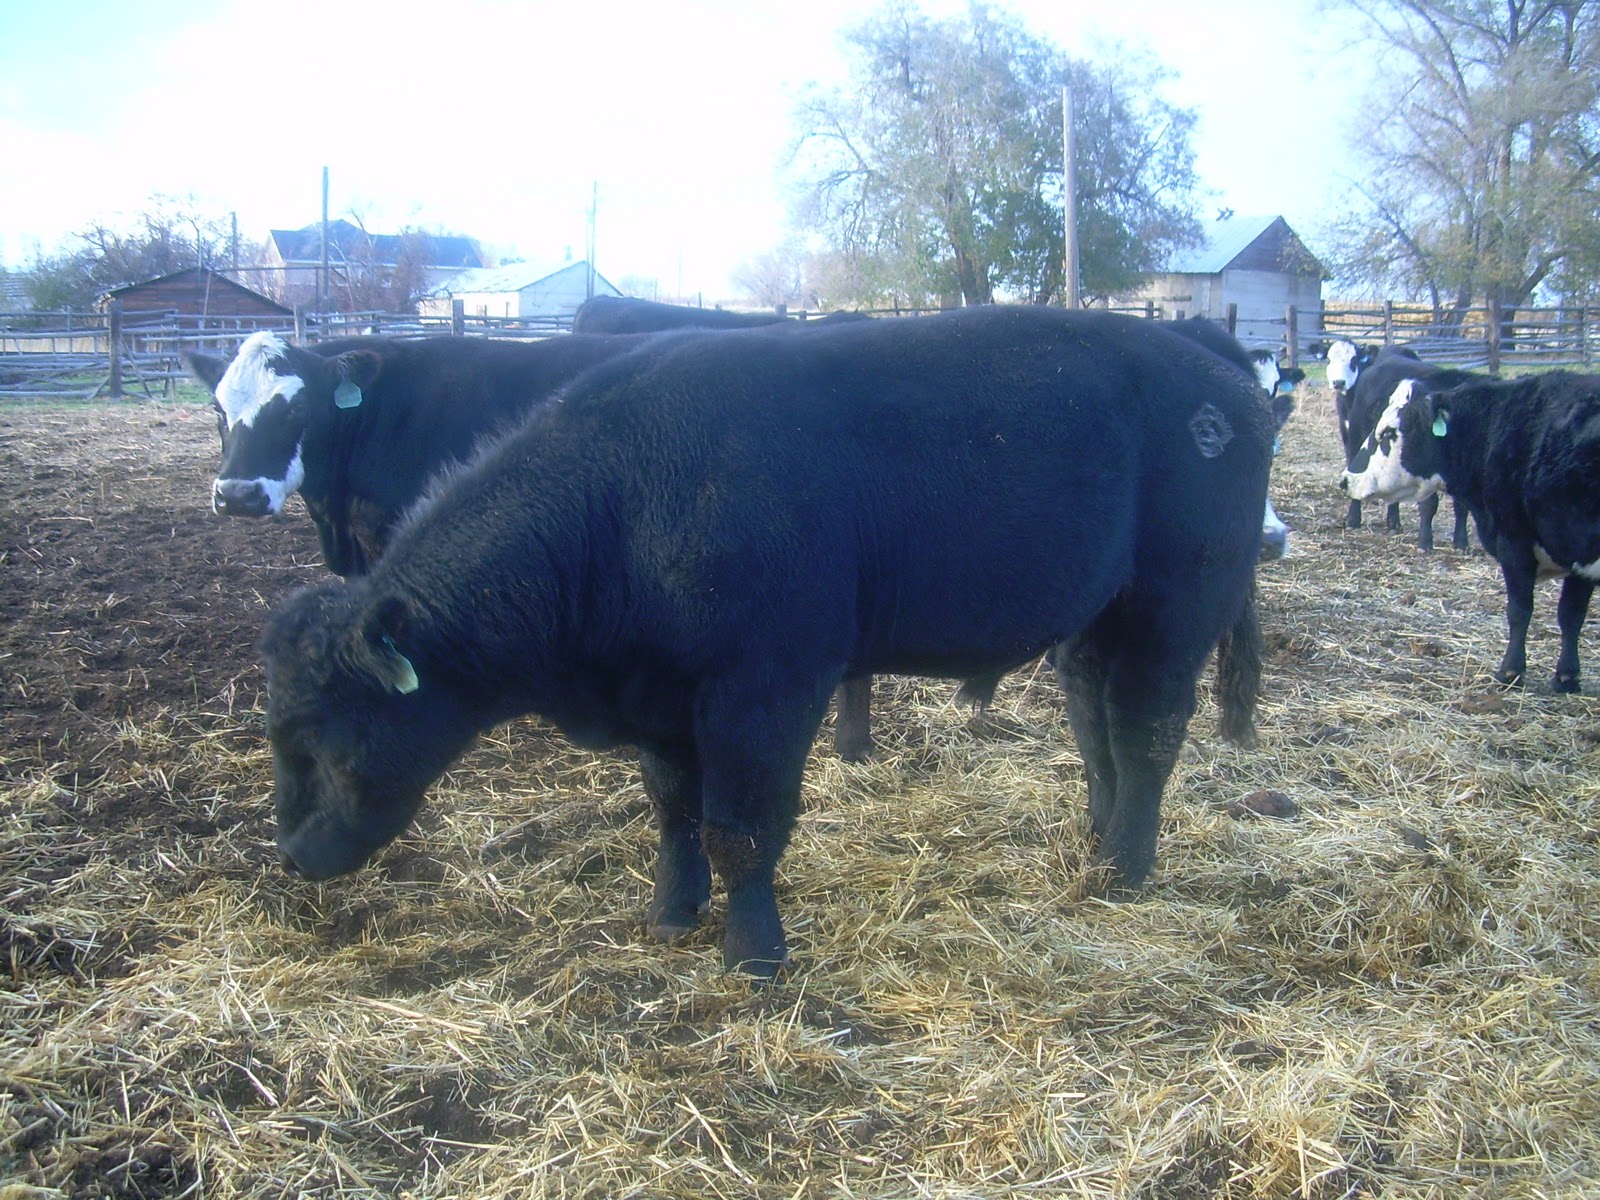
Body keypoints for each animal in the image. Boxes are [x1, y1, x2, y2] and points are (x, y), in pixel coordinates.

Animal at [258, 306, 1274, 977]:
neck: (620, 504)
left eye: (320, 733)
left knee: (1147, 728)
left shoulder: (766, 688)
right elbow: (674, 813)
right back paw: (1098, 840)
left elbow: (741, 828)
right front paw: (671, 914)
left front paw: (753, 953)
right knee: (1095, 718)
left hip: (1178, 603)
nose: (291, 855)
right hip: (1102, 616)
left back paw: (1128, 869)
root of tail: (1212, 362)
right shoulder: (664, 702)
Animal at [1340, 370, 1600, 692]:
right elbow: (1570, 616)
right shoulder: (1578, 559)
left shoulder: (1515, 543)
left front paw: (1510, 671)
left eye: (1388, 433)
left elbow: (1520, 611)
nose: (1346, 479)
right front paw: (1567, 677)